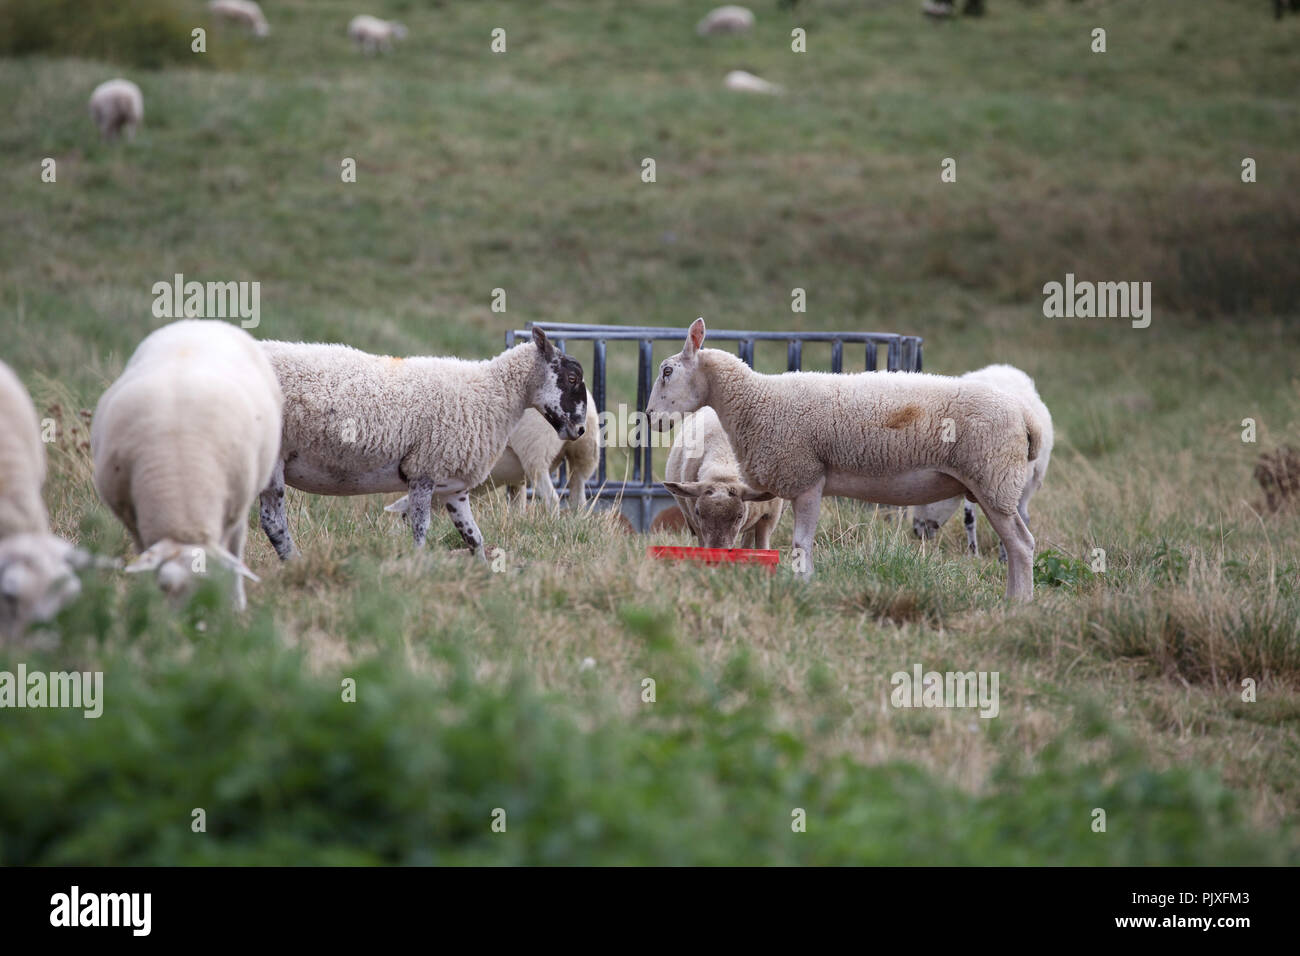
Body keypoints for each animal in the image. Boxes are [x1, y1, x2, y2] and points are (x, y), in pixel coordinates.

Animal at [91, 320, 283, 609]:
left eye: (208, 589)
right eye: (164, 586)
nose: (185, 622)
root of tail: (201, 322)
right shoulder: (130, 518)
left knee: (236, 546)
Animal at [384, 388, 599, 516]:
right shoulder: (516, 478)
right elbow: (517, 502)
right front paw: (517, 521)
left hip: (536, 451)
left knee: (551, 498)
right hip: (586, 449)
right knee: (578, 489)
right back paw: (577, 519)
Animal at [911, 364, 1052, 561]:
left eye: (926, 497)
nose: (917, 532)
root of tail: (1003, 369)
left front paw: (989, 556)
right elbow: (969, 518)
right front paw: (974, 554)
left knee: (1021, 517)